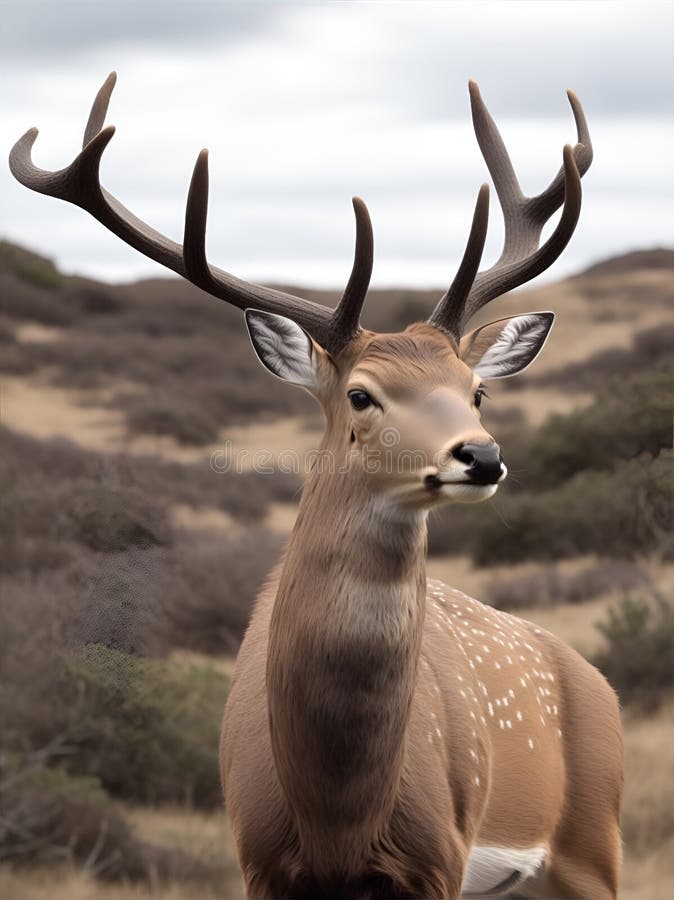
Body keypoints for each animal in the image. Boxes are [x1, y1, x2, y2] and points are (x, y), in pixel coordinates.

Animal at [11, 73, 624, 900]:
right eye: (362, 395)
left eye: (476, 390)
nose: (481, 455)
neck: (337, 811)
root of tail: (592, 678)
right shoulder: (258, 857)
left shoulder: (439, 854)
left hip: (593, 840)